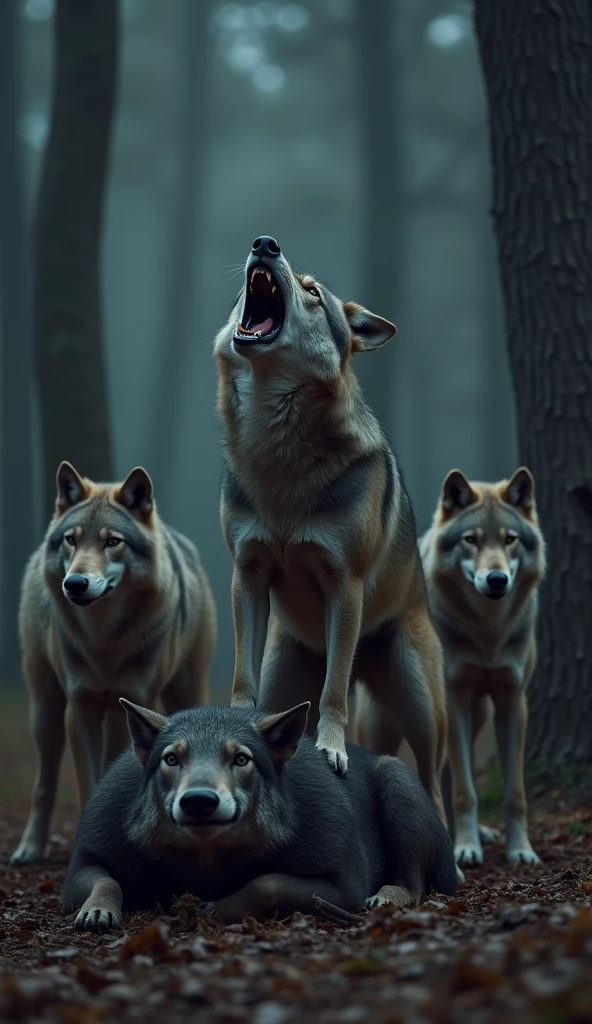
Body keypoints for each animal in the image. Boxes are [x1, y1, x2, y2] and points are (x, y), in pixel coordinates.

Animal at [11, 461, 216, 865]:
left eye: (112, 542)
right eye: (71, 540)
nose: (75, 583)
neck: (103, 642)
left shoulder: (130, 705)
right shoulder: (80, 708)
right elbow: (86, 782)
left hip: (185, 691)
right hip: (45, 713)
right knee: (44, 781)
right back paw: (30, 847)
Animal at [62, 699, 457, 931]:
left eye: (241, 759)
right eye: (171, 758)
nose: (199, 801)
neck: (206, 857)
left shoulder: (344, 886)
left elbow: (266, 883)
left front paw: (212, 909)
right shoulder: (87, 856)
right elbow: (106, 881)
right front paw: (97, 911)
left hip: (397, 777)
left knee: (413, 884)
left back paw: (386, 897)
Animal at [213, 234, 448, 825]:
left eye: (313, 292)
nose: (265, 243)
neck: (277, 454)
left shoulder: (346, 584)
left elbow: (334, 691)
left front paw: (332, 749)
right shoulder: (246, 574)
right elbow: (241, 678)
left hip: (420, 704)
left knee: (436, 778)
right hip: (286, 670)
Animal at [419, 467, 546, 867]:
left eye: (509, 540)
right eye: (471, 540)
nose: (496, 579)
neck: (488, 633)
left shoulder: (513, 703)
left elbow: (514, 793)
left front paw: (520, 850)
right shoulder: (455, 699)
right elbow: (466, 792)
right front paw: (465, 848)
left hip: (476, 718)